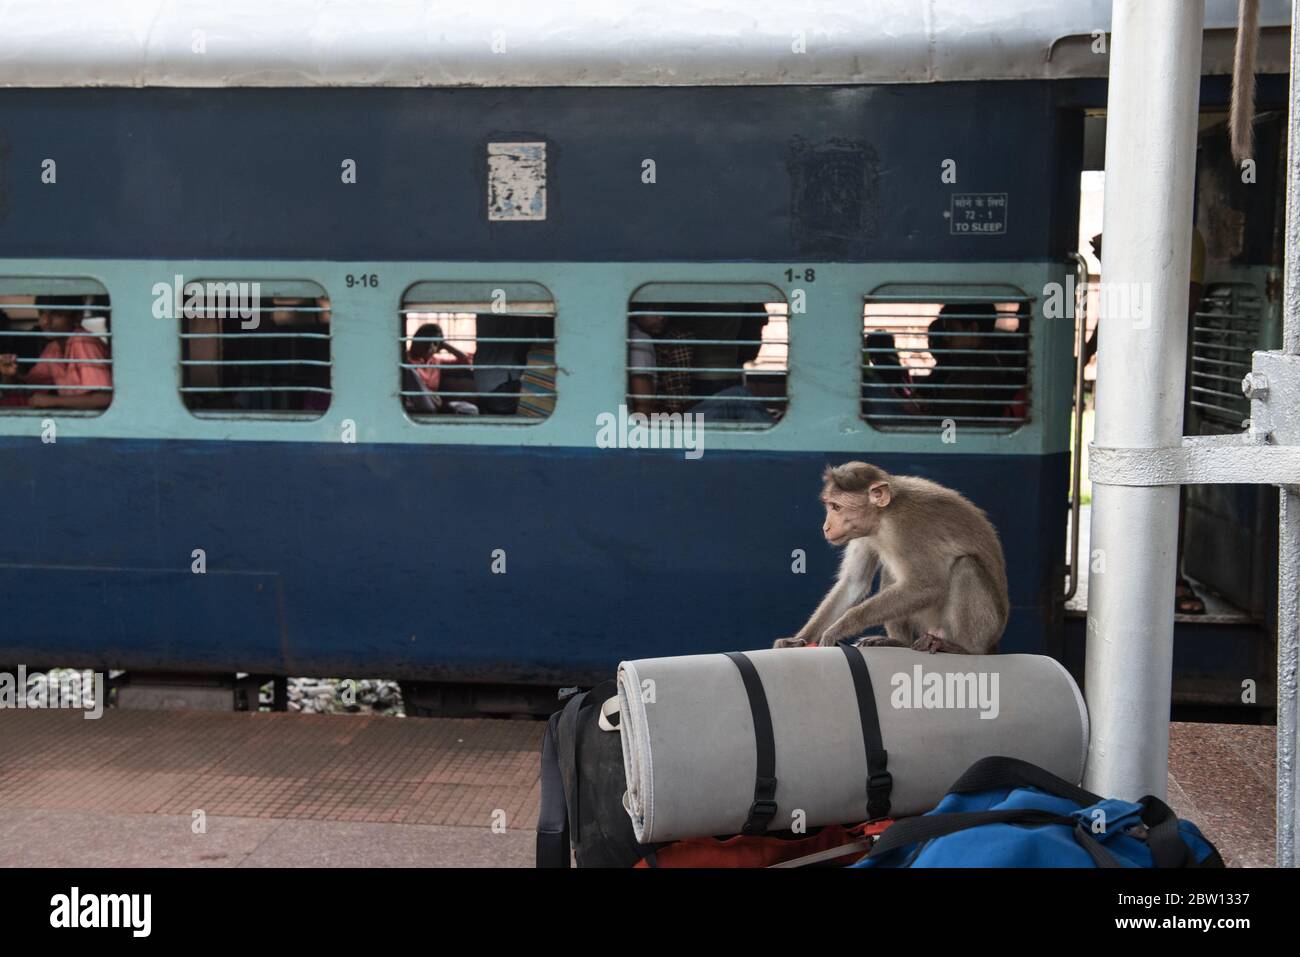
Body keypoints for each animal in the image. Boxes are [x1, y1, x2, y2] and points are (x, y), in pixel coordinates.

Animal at [773, 461, 1009, 655]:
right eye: (829, 505)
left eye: (836, 507)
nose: (826, 527)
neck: (884, 516)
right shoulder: (863, 532)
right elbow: (853, 584)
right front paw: (798, 640)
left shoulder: (908, 527)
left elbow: (926, 586)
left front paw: (841, 626)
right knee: (891, 572)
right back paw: (899, 642)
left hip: (983, 627)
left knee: (966, 567)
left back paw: (962, 648)